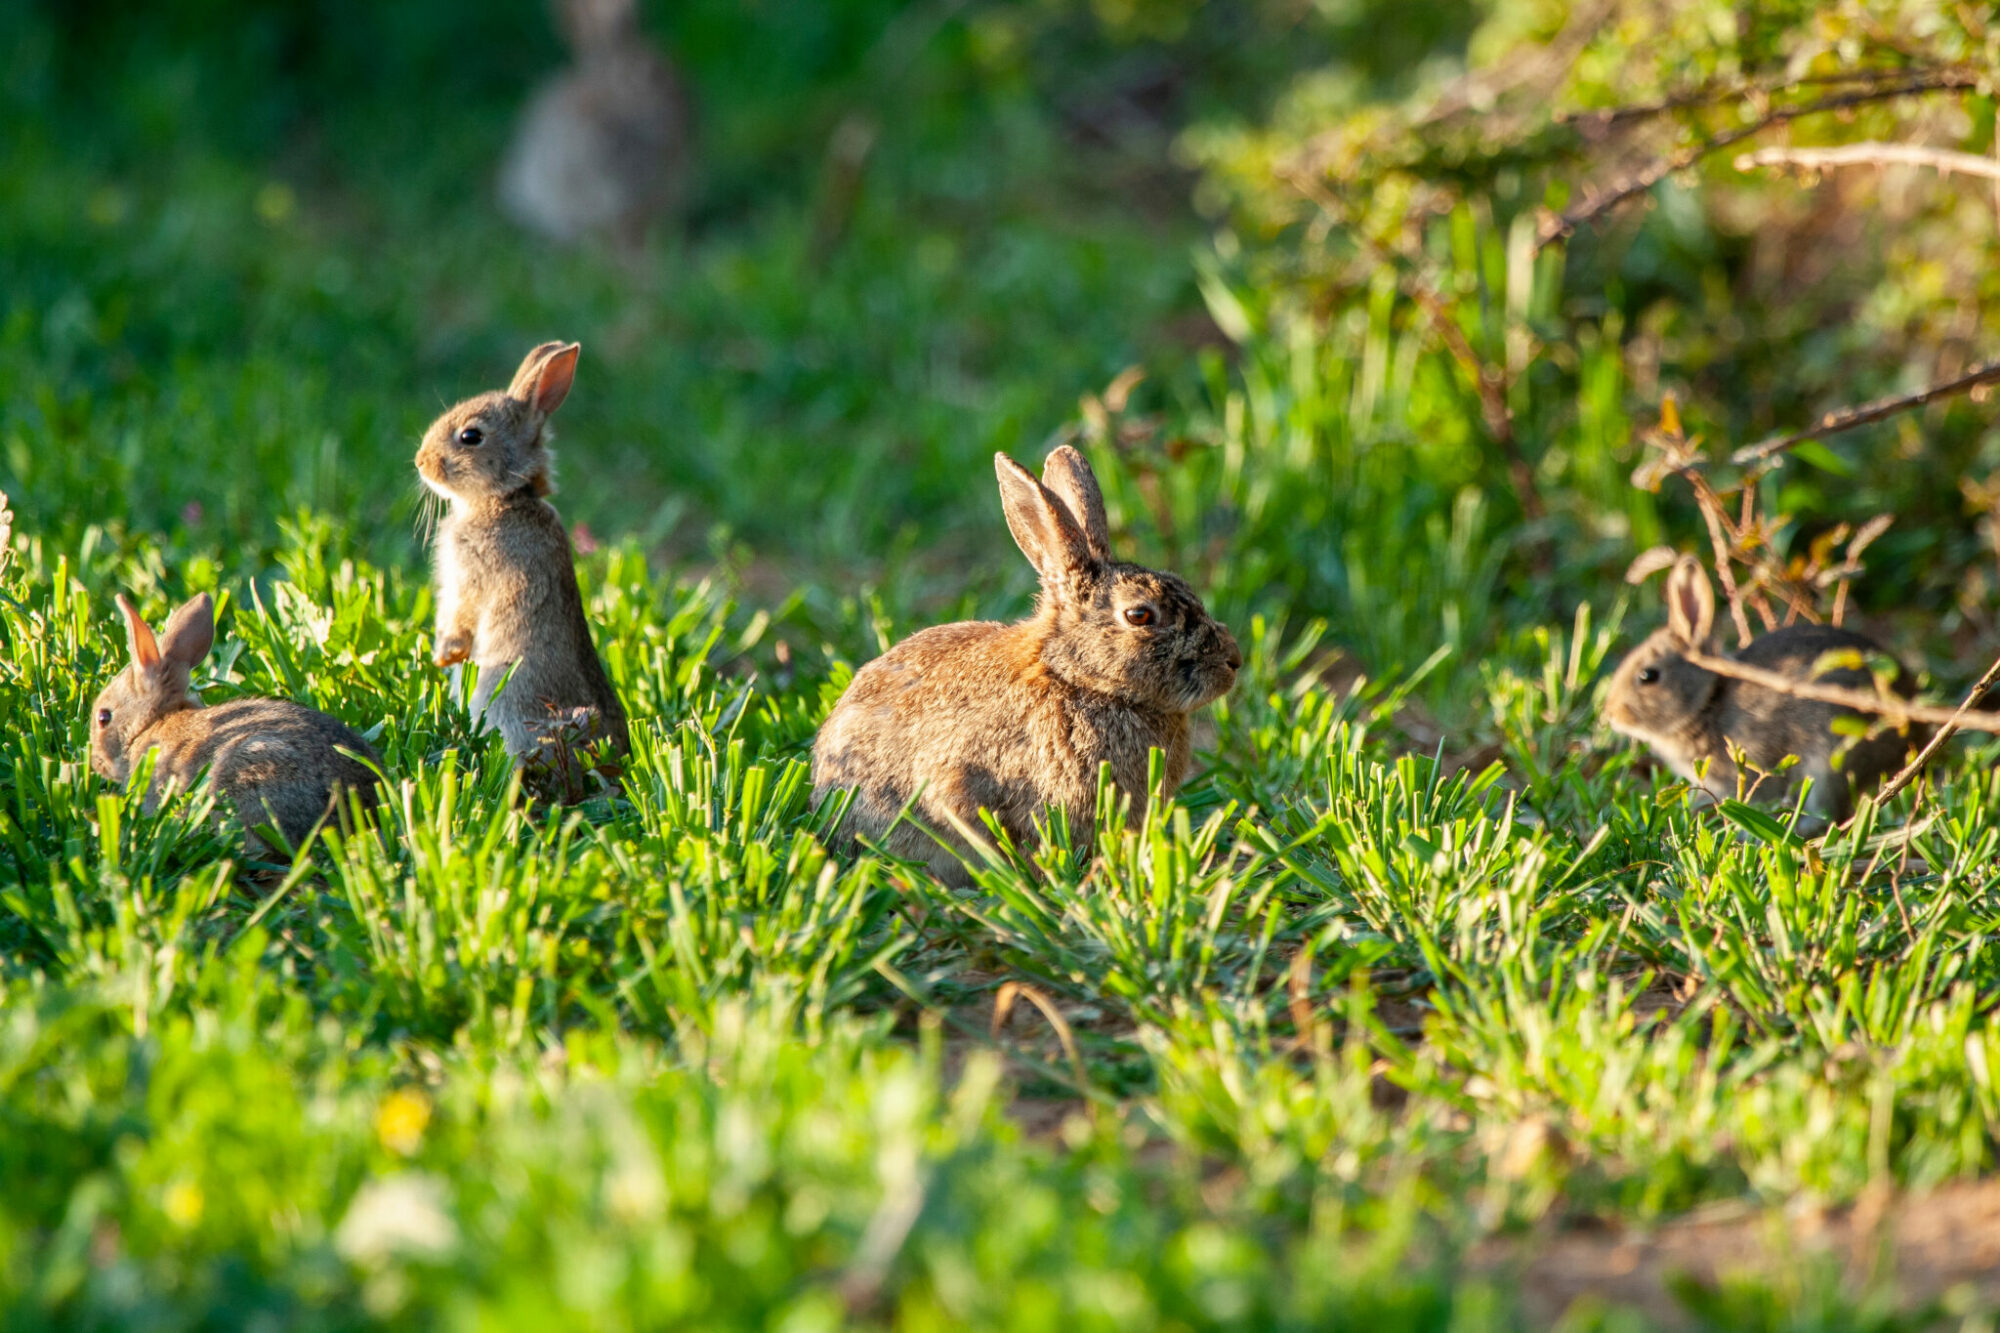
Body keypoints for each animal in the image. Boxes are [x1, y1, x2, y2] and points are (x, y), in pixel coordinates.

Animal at [416, 341, 630, 780]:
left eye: (470, 436)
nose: (420, 461)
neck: (504, 497)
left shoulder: (473, 579)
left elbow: (461, 617)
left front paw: (447, 654)